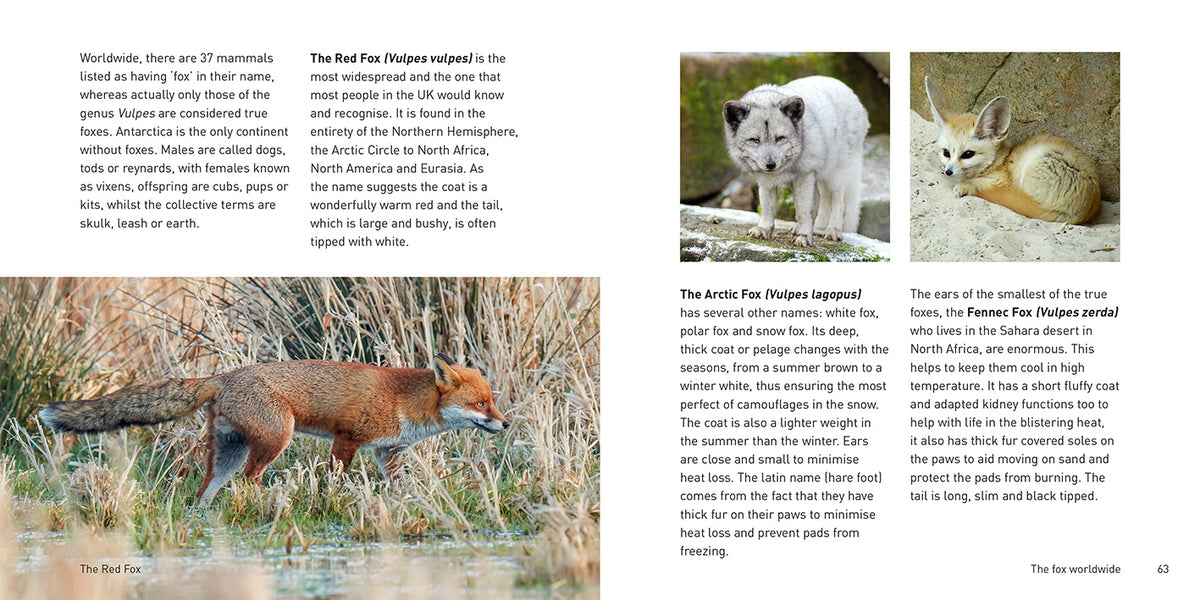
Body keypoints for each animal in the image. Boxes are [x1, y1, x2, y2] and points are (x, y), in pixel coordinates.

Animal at [38, 354, 508, 505]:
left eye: (492, 400)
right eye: (481, 404)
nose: (505, 423)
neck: (405, 402)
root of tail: (226, 375)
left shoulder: (386, 452)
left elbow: (398, 486)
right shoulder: (347, 439)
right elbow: (337, 478)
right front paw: (332, 499)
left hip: (227, 453)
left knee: (206, 490)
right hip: (275, 439)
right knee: (251, 479)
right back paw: (280, 499)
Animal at [723, 76, 868, 247]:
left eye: (780, 138)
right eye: (754, 140)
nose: (770, 165)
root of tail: (850, 91)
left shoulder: (804, 175)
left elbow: (803, 210)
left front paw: (804, 236)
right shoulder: (766, 180)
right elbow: (767, 207)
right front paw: (764, 229)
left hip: (836, 173)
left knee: (837, 199)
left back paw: (832, 230)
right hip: (820, 175)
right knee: (822, 198)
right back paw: (817, 228)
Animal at [924, 76, 1101, 224]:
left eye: (968, 154)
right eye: (946, 153)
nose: (948, 172)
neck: (1000, 161)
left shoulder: (1002, 181)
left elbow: (979, 183)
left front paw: (965, 186)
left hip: (1034, 164)